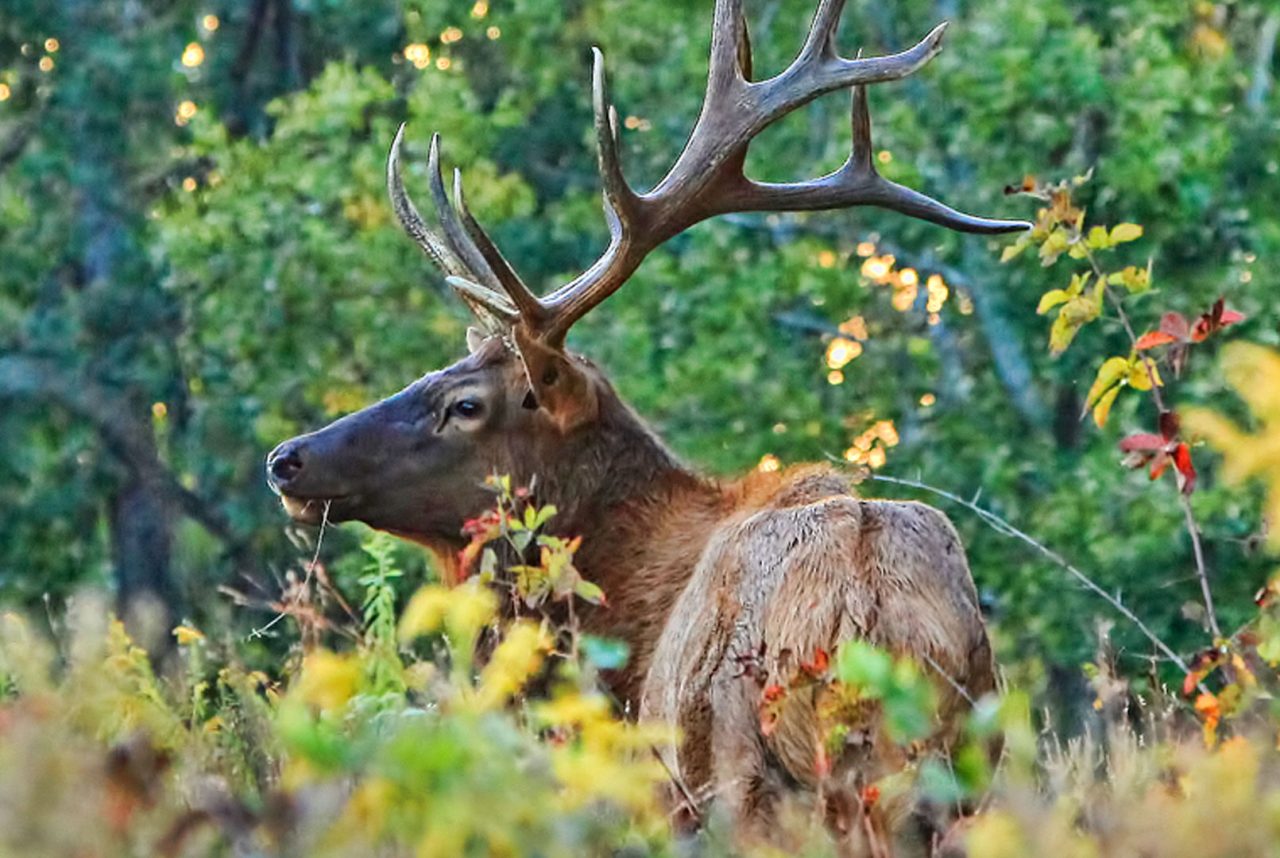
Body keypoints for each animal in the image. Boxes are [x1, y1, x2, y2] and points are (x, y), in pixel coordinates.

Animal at [266, 0, 1027, 846]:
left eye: (464, 405)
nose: (288, 459)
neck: (622, 622)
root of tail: (869, 610)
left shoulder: (663, 791)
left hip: (747, 767)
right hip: (961, 770)